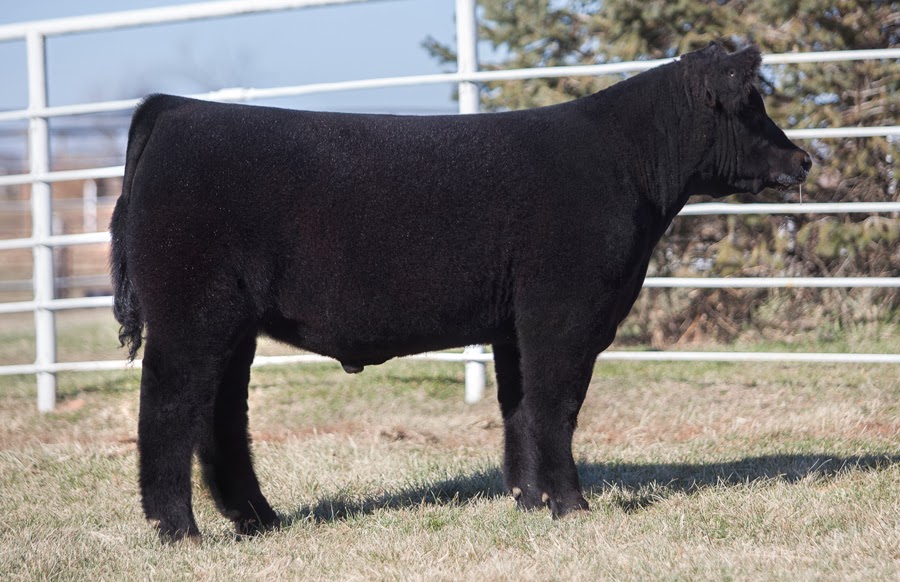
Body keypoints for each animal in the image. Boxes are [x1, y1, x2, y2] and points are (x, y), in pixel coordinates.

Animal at [110, 42, 811, 542]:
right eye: (751, 107)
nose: (803, 159)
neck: (629, 168)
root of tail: (174, 108)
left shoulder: (516, 323)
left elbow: (519, 407)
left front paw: (529, 501)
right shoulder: (565, 310)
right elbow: (556, 405)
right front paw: (573, 506)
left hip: (233, 324)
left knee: (221, 417)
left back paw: (260, 520)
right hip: (192, 312)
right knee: (169, 407)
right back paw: (178, 529)